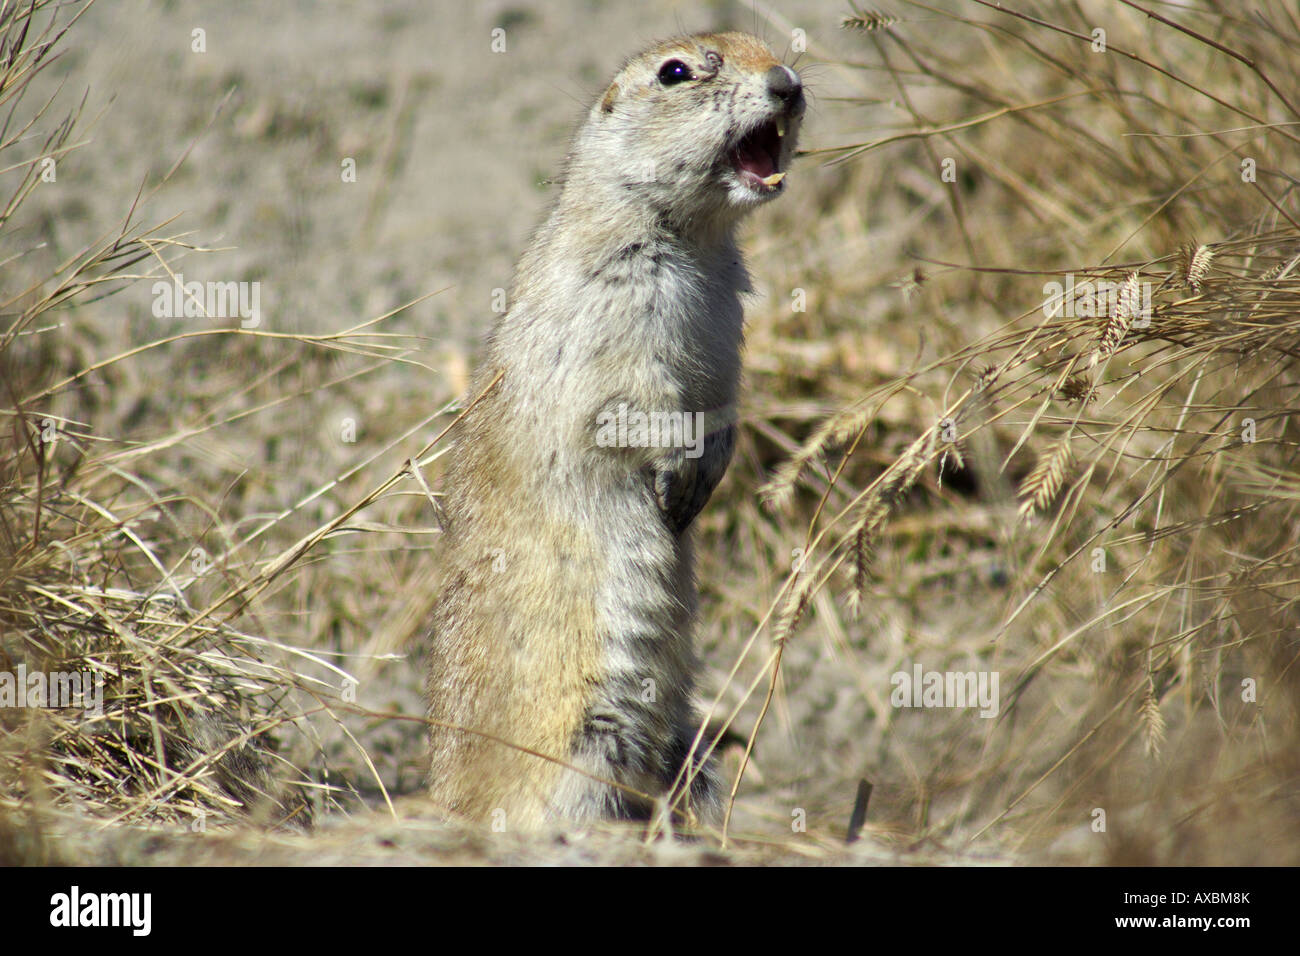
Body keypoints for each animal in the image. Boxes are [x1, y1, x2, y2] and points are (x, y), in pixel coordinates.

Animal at [426, 31, 804, 828]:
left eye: (770, 47)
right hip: (586, 748)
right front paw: (677, 478)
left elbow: (722, 403)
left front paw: (706, 473)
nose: (789, 84)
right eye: (676, 71)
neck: (694, 241)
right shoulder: (614, 315)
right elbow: (634, 404)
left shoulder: (726, 334)